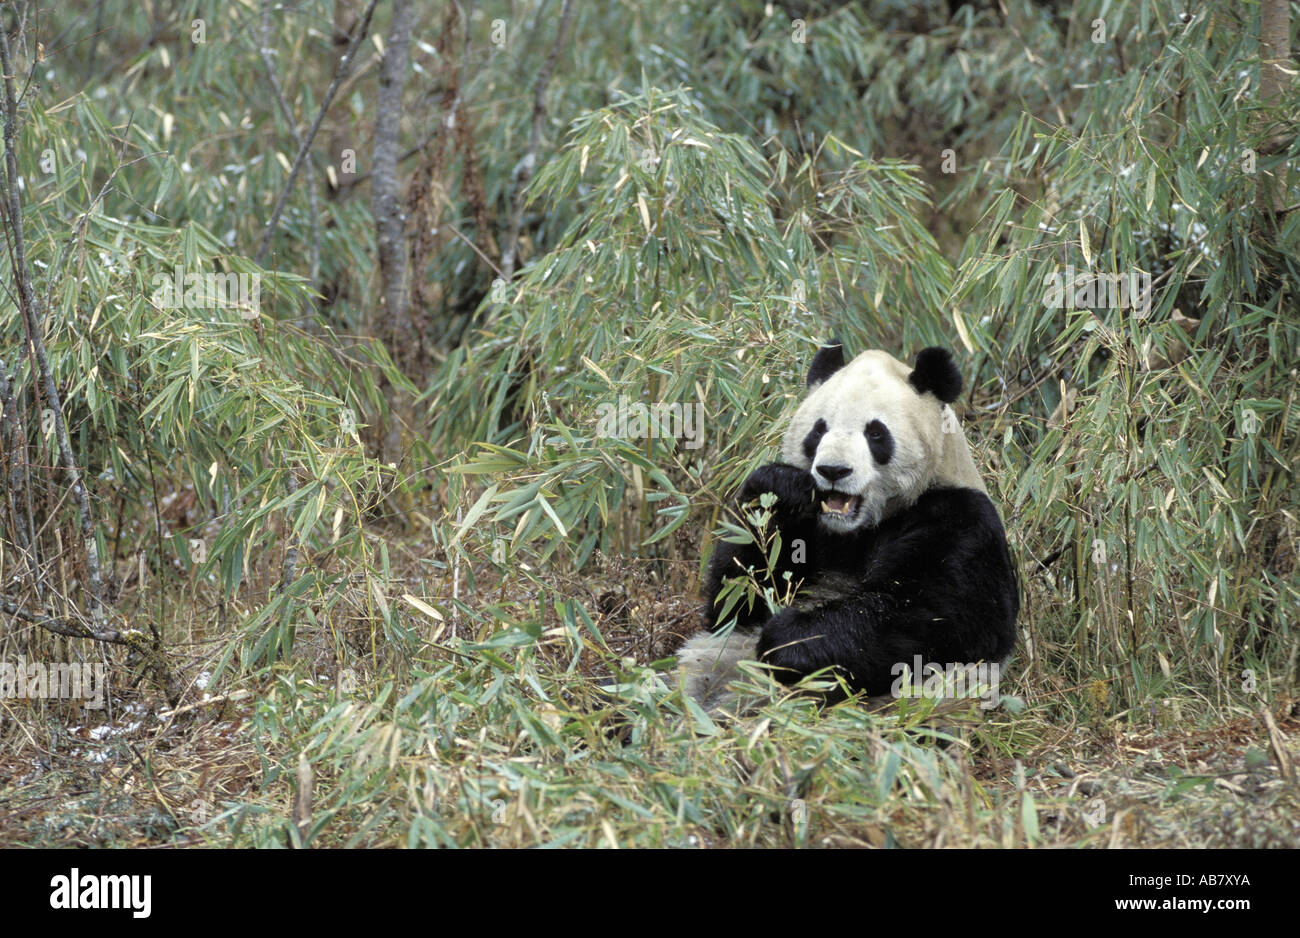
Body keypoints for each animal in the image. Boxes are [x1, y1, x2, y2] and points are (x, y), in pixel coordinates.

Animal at [678, 343, 1018, 712]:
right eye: (819, 430)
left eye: (876, 433)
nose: (833, 470)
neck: (857, 527)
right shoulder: (813, 532)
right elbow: (734, 602)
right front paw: (780, 487)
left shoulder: (960, 522)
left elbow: (927, 619)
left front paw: (788, 636)